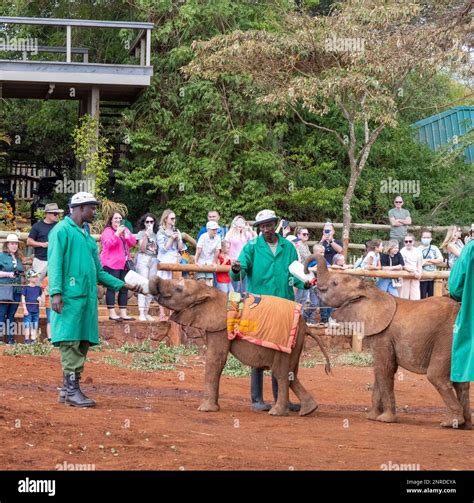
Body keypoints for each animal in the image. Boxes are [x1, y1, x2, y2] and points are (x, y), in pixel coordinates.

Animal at [148, 278, 330, 416]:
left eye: (179, 289)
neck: (210, 291)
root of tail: (306, 326)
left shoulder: (221, 327)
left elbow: (215, 359)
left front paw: (205, 410)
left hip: (285, 342)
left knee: (281, 373)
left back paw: (277, 413)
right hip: (296, 342)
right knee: (292, 374)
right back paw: (308, 410)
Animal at [306, 254, 472, 432]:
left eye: (335, 283)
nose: (309, 278)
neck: (369, 290)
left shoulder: (383, 335)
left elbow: (384, 368)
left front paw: (385, 419)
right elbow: (381, 370)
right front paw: (372, 417)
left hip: (447, 338)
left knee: (436, 376)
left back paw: (451, 423)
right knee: (461, 382)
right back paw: (466, 425)